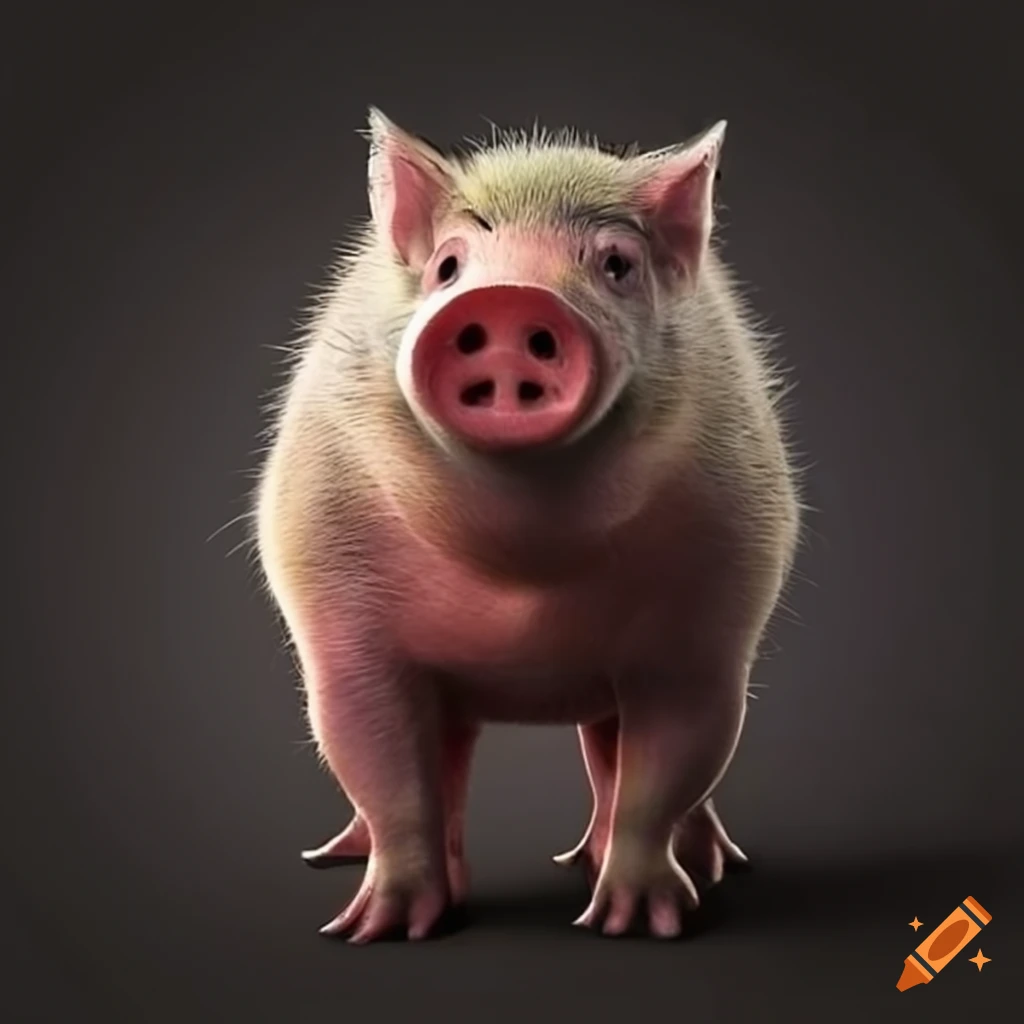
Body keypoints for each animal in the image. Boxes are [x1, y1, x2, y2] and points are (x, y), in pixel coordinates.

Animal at [254, 107, 801, 944]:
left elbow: (671, 764)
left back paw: (686, 864)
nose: (511, 299)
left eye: (617, 265)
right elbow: (381, 768)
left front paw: (633, 925)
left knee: (617, 759)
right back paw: (349, 859)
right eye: (449, 266)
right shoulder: (335, 614)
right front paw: (375, 930)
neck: (522, 560)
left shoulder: (709, 620)